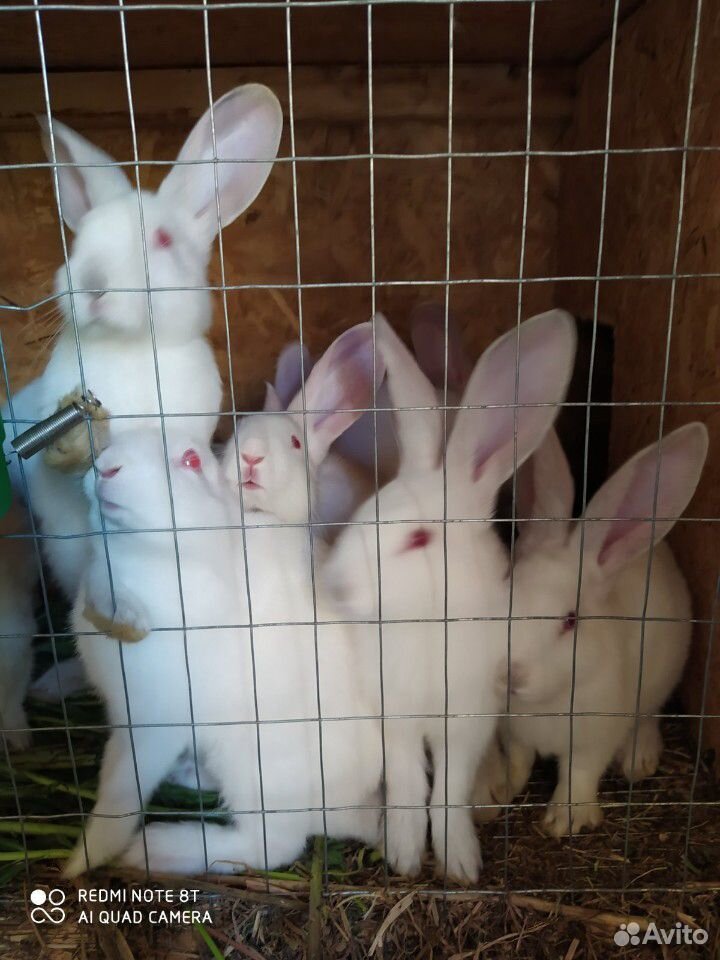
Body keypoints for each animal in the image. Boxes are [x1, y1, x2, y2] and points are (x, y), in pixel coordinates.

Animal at [322, 309, 577, 882]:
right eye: (367, 511)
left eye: (419, 539)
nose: (335, 583)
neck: (422, 622)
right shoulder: (393, 719)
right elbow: (408, 784)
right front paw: (404, 854)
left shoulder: (467, 721)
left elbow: (450, 790)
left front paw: (460, 862)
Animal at [472, 423, 708, 837]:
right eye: (506, 595)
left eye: (571, 620)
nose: (509, 673)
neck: (544, 703)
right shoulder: (513, 732)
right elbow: (519, 760)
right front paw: (506, 789)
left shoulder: (593, 737)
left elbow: (578, 774)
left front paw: (564, 821)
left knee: (648, 717)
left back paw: (638, 760)